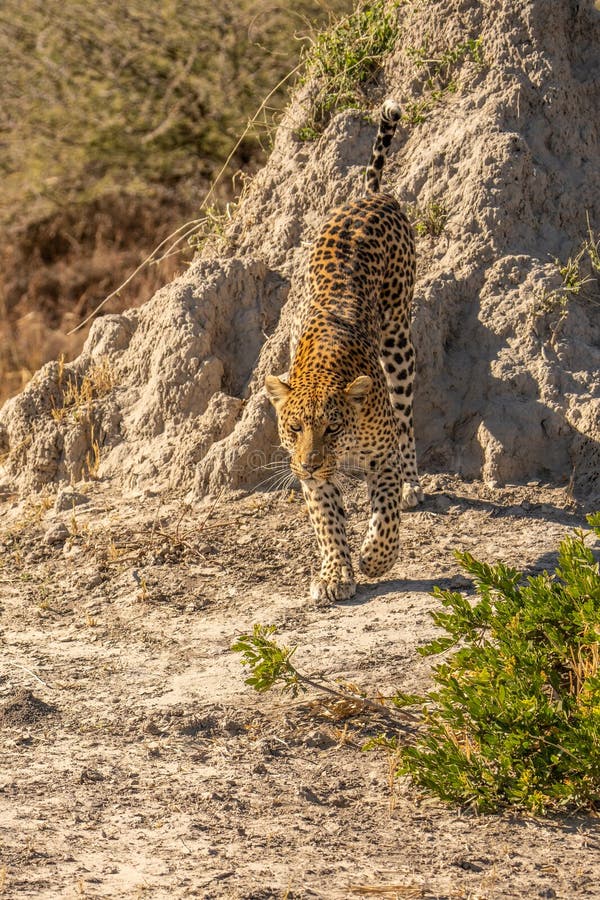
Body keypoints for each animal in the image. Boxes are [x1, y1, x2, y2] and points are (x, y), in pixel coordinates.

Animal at [265, 99, 423, 604]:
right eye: (294, 428)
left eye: (332, 428)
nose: (311, 462)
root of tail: (371, 197)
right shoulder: (312, 483)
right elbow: (328, 523)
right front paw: (335, 573)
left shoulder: (382, 456)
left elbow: (386, 512)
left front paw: (375, 558)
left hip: (399, 344)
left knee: (407, 420)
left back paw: (414, 484)